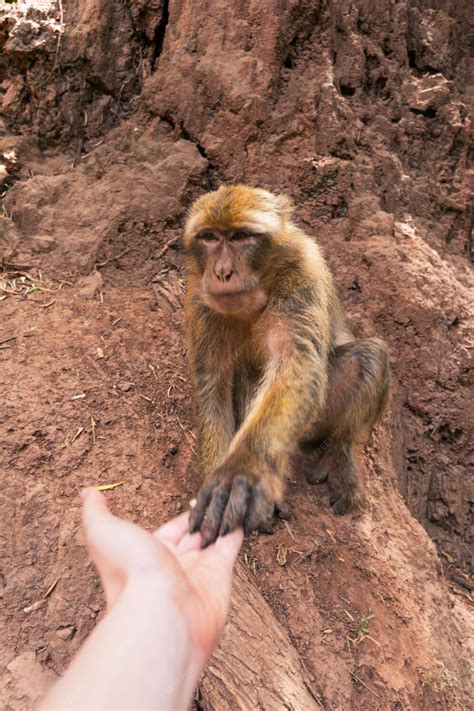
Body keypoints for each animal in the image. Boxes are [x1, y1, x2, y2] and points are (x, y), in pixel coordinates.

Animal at [183, 185, 390, 547]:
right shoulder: (200, 299)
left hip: (315, 423)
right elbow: (214, 385)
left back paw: (339, 451)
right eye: (209, 237)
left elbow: (295, 367)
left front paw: (244, 469)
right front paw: (216, 482)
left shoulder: (301, 273)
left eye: (240, 236)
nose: (222, 272)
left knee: (370, 356)